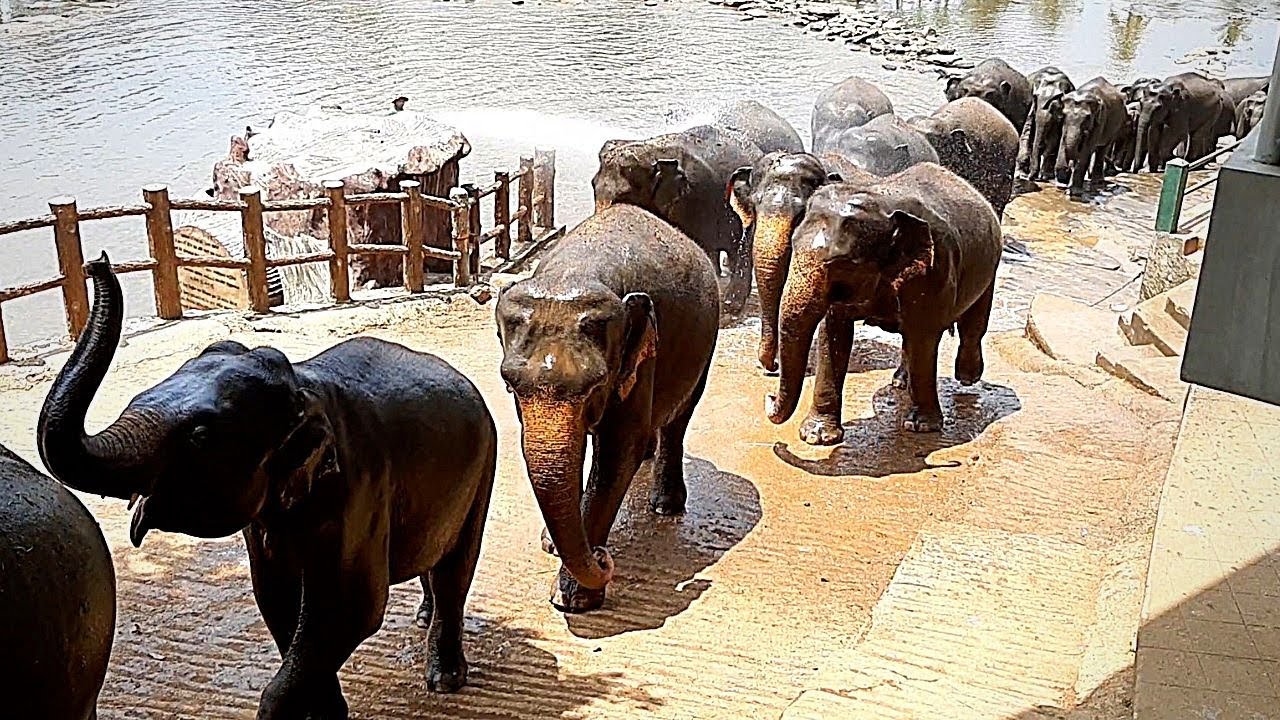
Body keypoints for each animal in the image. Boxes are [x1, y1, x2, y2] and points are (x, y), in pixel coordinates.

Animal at [39, 255, 498, 718]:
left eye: (200, 437)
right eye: (135, 398)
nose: (97, 262)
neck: (303, 385)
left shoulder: (360, 488)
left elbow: (350, 607)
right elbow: (277, 599)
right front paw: (326, 712)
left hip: (485, 466)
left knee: (456, 568)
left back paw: (445, 678)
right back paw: (423, 615)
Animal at [496, 204, 720, 614]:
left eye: (596, 384)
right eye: (509, 384)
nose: (603, 558)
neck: (575, 270)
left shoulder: (642, 353)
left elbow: (619, 449)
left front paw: (572, 599)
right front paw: (553, 547)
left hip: (705, 345)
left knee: (680, 416)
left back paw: (665, 506)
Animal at [763, 162, 1002, 443]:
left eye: (844, 265)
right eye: (792, 246)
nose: (768, 397)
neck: (884, 203)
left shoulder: (935, 269)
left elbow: (924, 337)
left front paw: (921, 426)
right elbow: (833, 334)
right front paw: (818, 436)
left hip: (990, 267)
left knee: (972, 325)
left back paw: (967, 377)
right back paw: (900, 382)